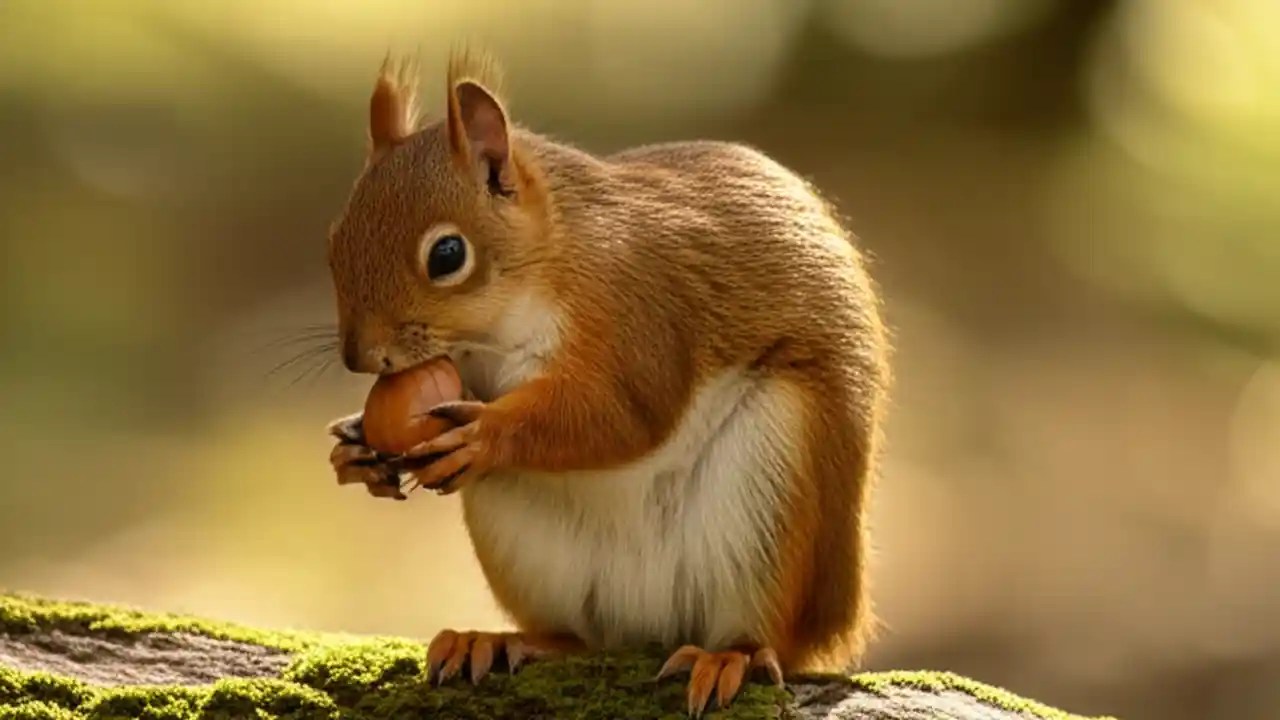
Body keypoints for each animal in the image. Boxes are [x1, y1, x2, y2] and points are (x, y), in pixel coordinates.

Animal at [324, 49, 891, 716]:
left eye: (446, 255)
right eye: (334, 241)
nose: (360, 357)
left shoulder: (639, 308)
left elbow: (624, 413)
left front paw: (485, 434)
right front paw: (354, 448)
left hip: (774, 485)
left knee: (765, 634)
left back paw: (733, 656)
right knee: (582, 637)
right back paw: (497, 640)